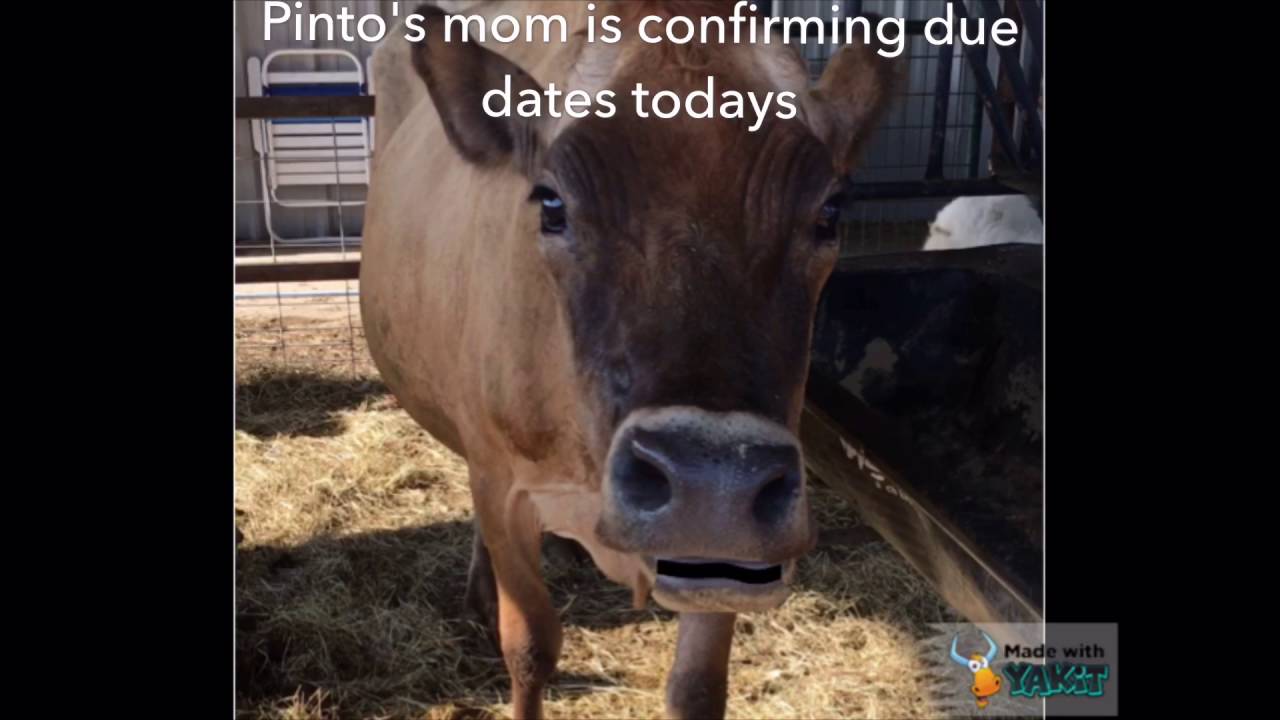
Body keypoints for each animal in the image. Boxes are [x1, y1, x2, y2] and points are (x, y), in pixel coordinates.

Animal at [360, 2, 899, 717]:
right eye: (551, 202)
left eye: (830, 213)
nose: (713, 485)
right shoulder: (502, 482)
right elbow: (529, 646)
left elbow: (698, 686)